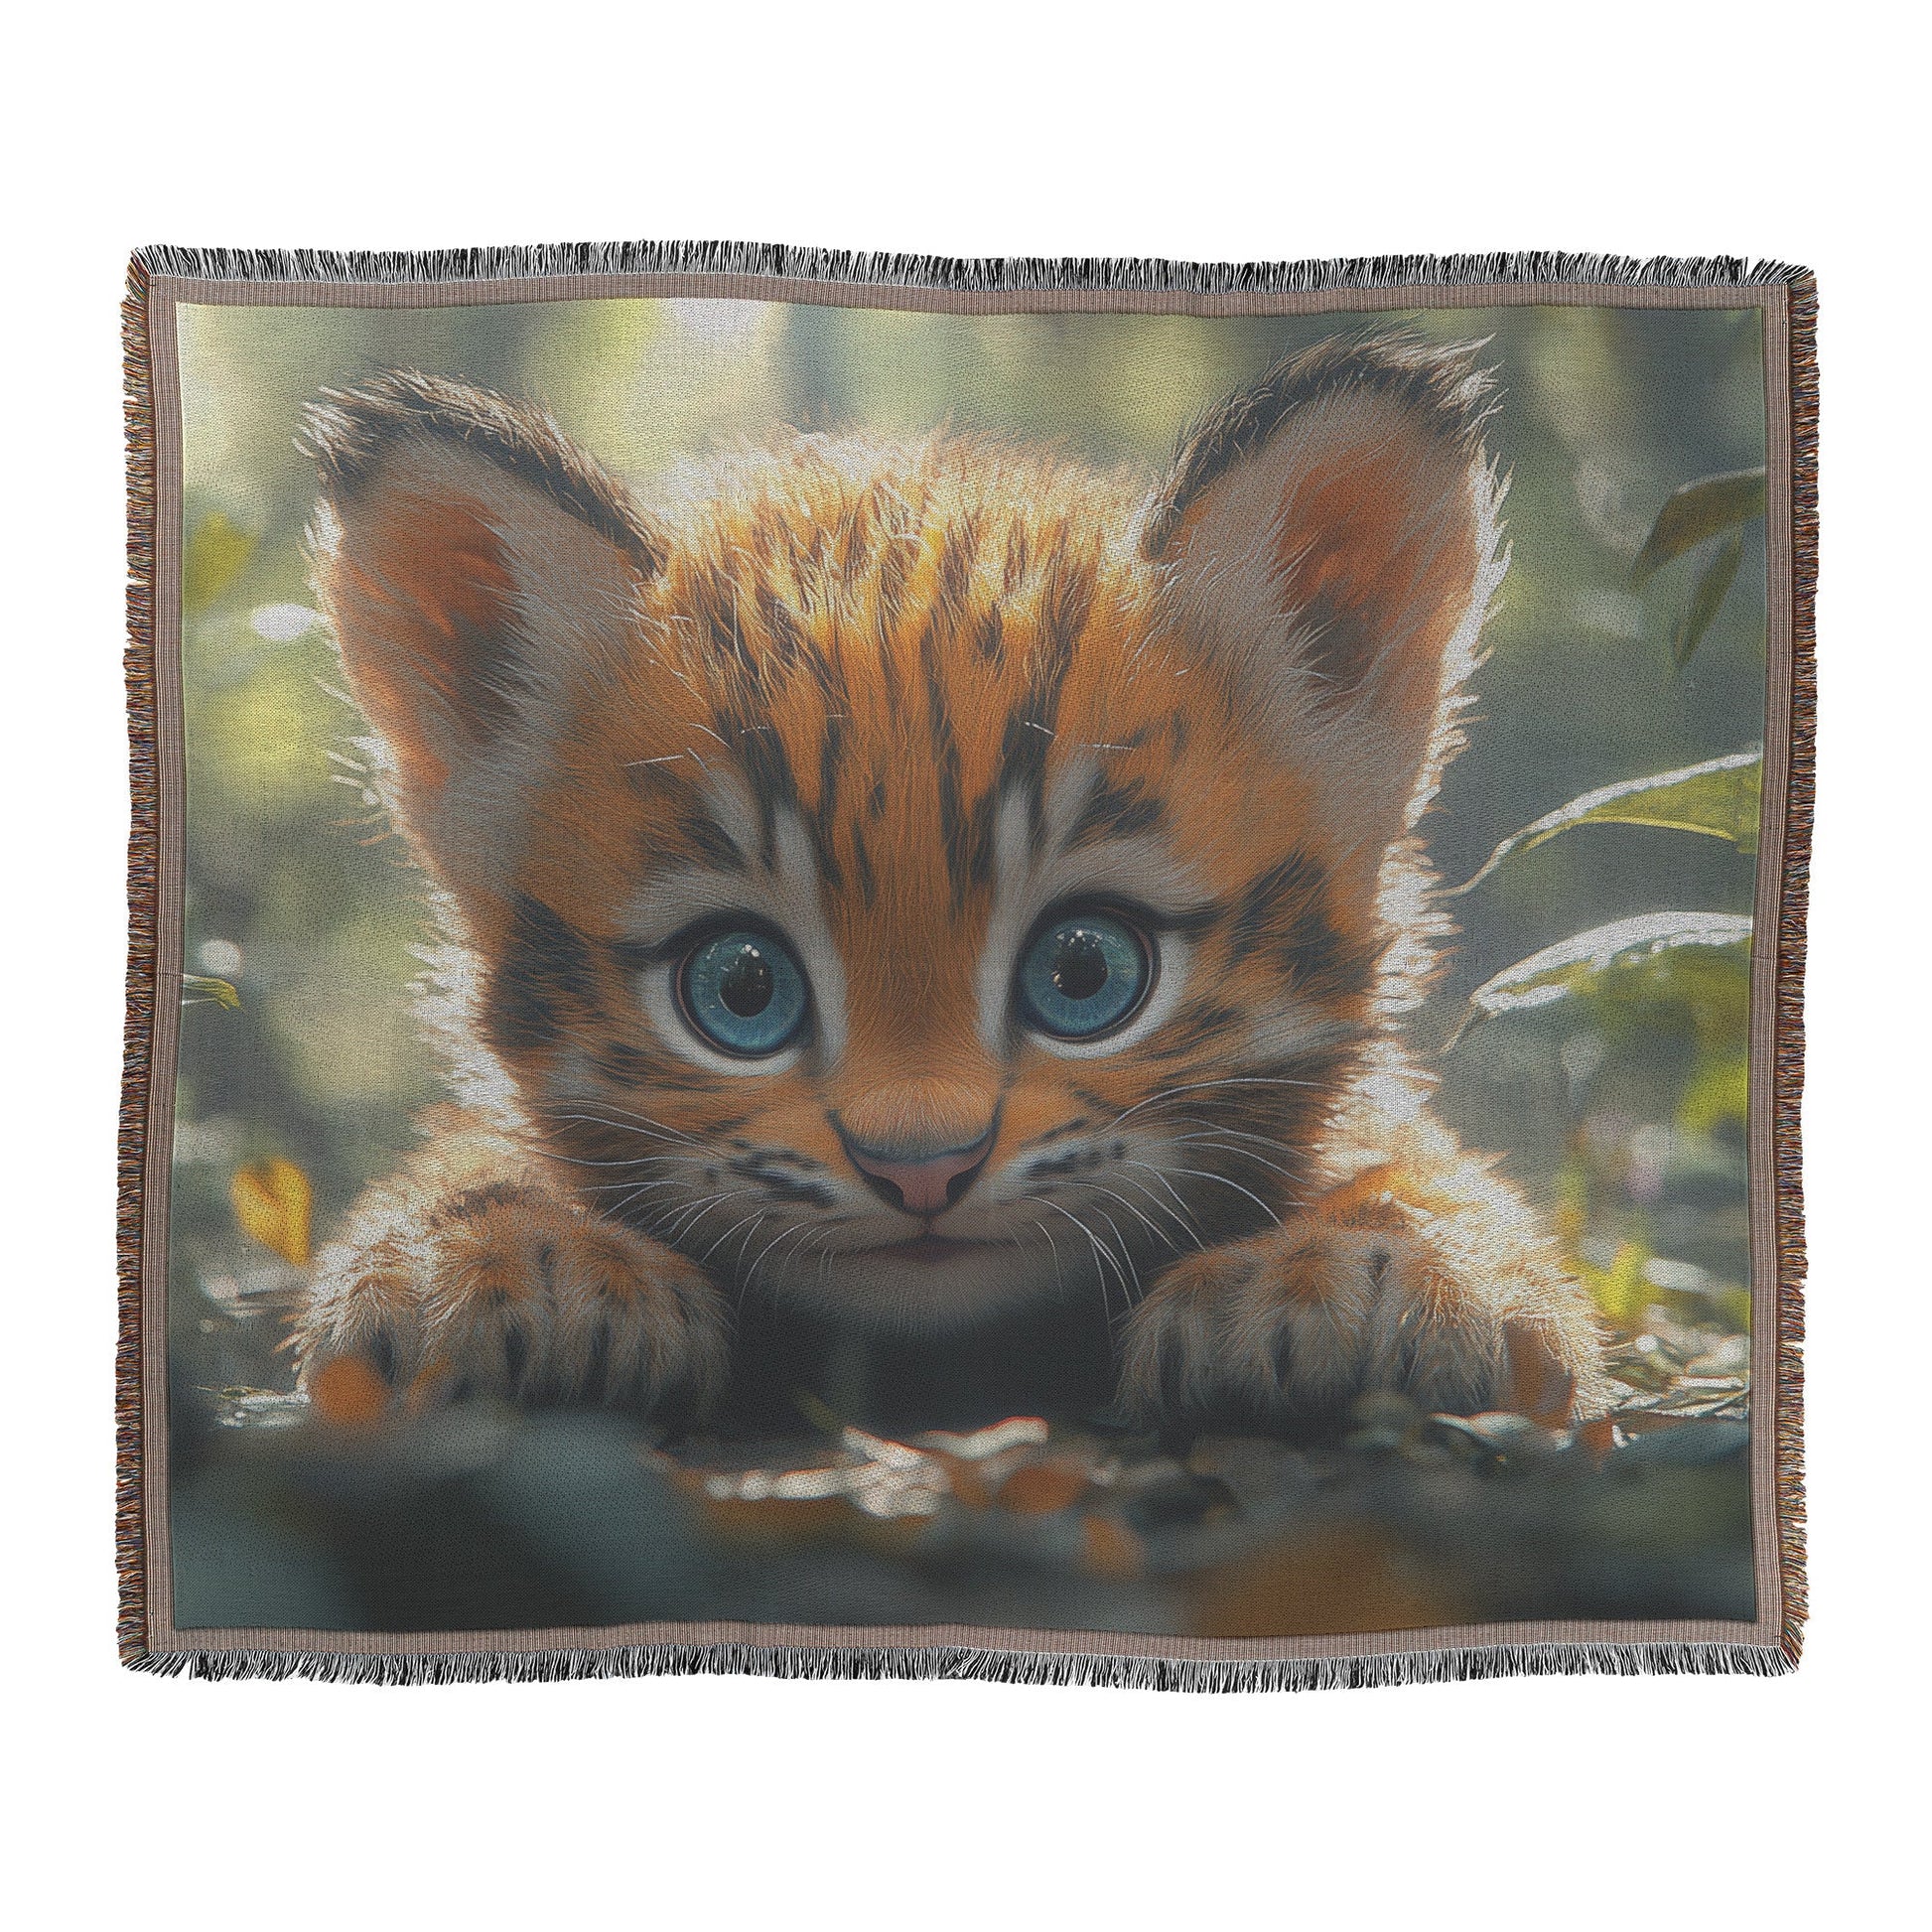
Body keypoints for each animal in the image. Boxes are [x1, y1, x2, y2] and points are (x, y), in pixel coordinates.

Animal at [288, 330, 1609, 1437]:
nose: (918, 1166)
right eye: (741, 989)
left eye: (1083, 972)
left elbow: (1416, 1161)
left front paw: (1365, 1262)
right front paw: (515, 1257)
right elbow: (475, 1154)